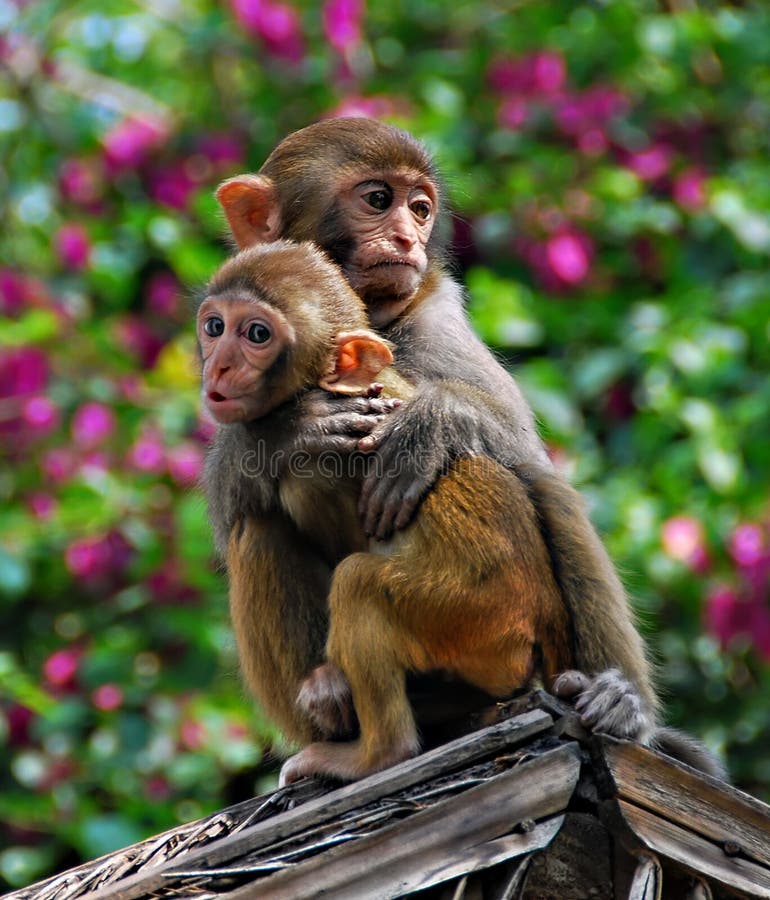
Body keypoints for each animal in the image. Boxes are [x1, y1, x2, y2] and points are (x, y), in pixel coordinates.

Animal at [200, 239, 575, 782]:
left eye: (256, 334)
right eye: (214, 327)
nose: (219, 367)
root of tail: (542, 617)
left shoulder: (332, 457)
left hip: (473, 619)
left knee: (351, 579)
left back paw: (377, 753)